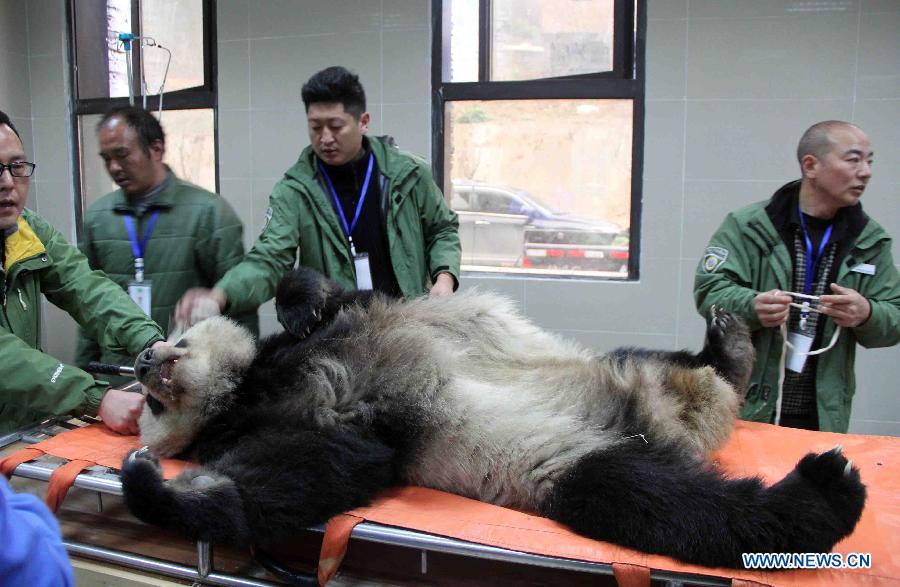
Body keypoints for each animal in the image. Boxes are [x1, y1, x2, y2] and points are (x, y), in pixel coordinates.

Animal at [121, 267, 866, 570]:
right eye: (151, 406)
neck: (245, 387)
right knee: (645, 494)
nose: (142, 358)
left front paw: (299, 302)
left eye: (177, 339)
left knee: (658, 368)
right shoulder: (332, 420)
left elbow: (331, 291)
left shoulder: (338, 329)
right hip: (557, 458)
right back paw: (819, 496)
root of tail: (673, 421)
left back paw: (731, 349)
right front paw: (149, 481)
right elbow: (306, 468)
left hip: (625, 365)